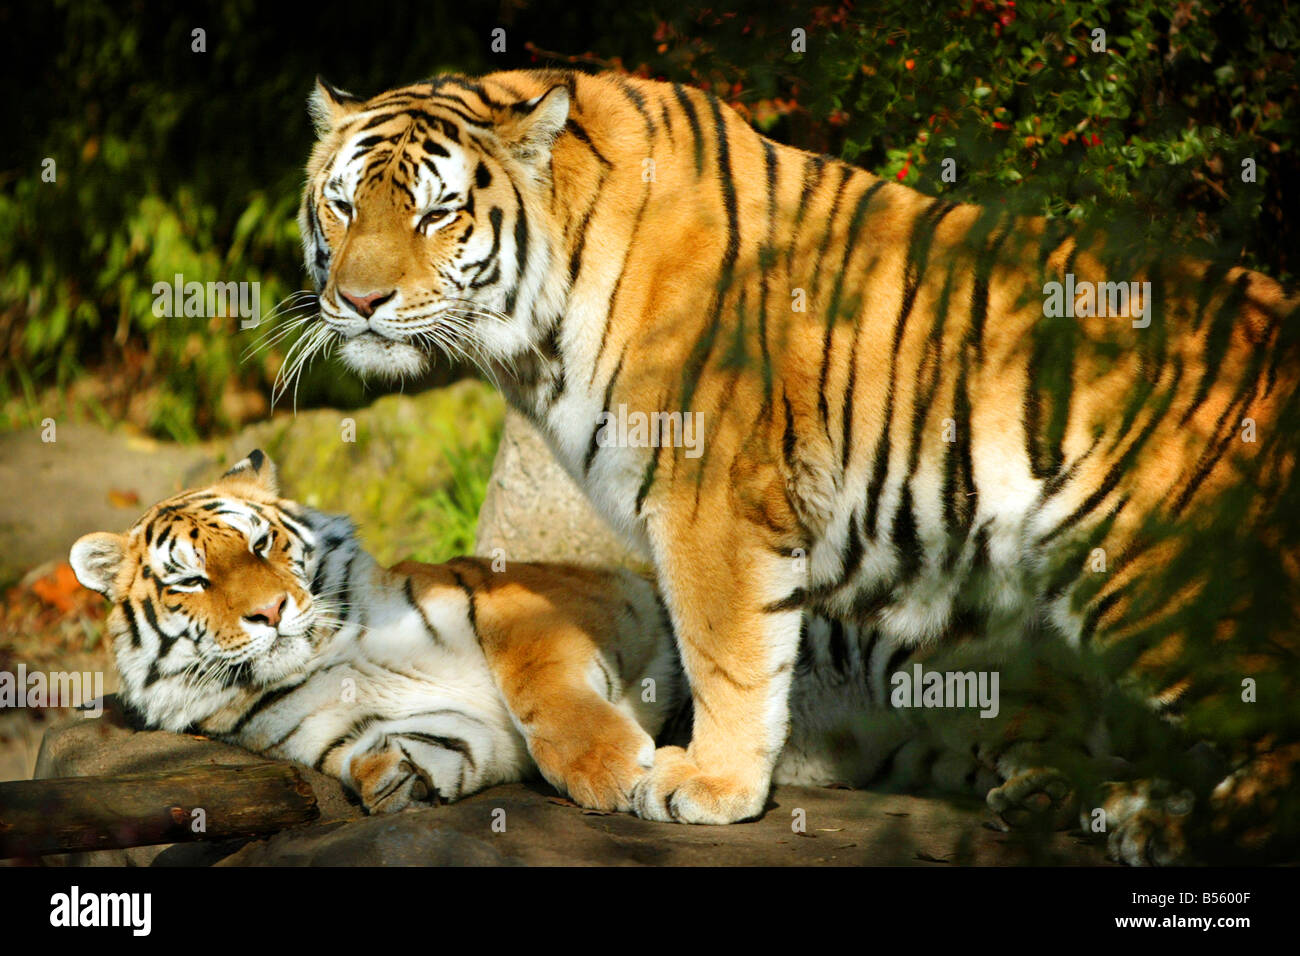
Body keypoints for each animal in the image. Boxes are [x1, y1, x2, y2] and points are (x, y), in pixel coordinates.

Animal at [71, 451, 990, 817]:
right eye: (193, 580)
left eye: (260, 546)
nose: (269, 612)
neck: (336, 653)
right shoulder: (404, 725)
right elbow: (400, 750)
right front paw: (387, 782)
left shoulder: (523, 600)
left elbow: (542, 692)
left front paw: (613, 772)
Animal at [290, 68, 1300, 862]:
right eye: (343, 204)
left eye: (437, 211)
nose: (361, 300)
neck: (533, 331)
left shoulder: (708, 496)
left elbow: (726, 653)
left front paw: (709, 786)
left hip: (1155, 574)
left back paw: (1161, 826)